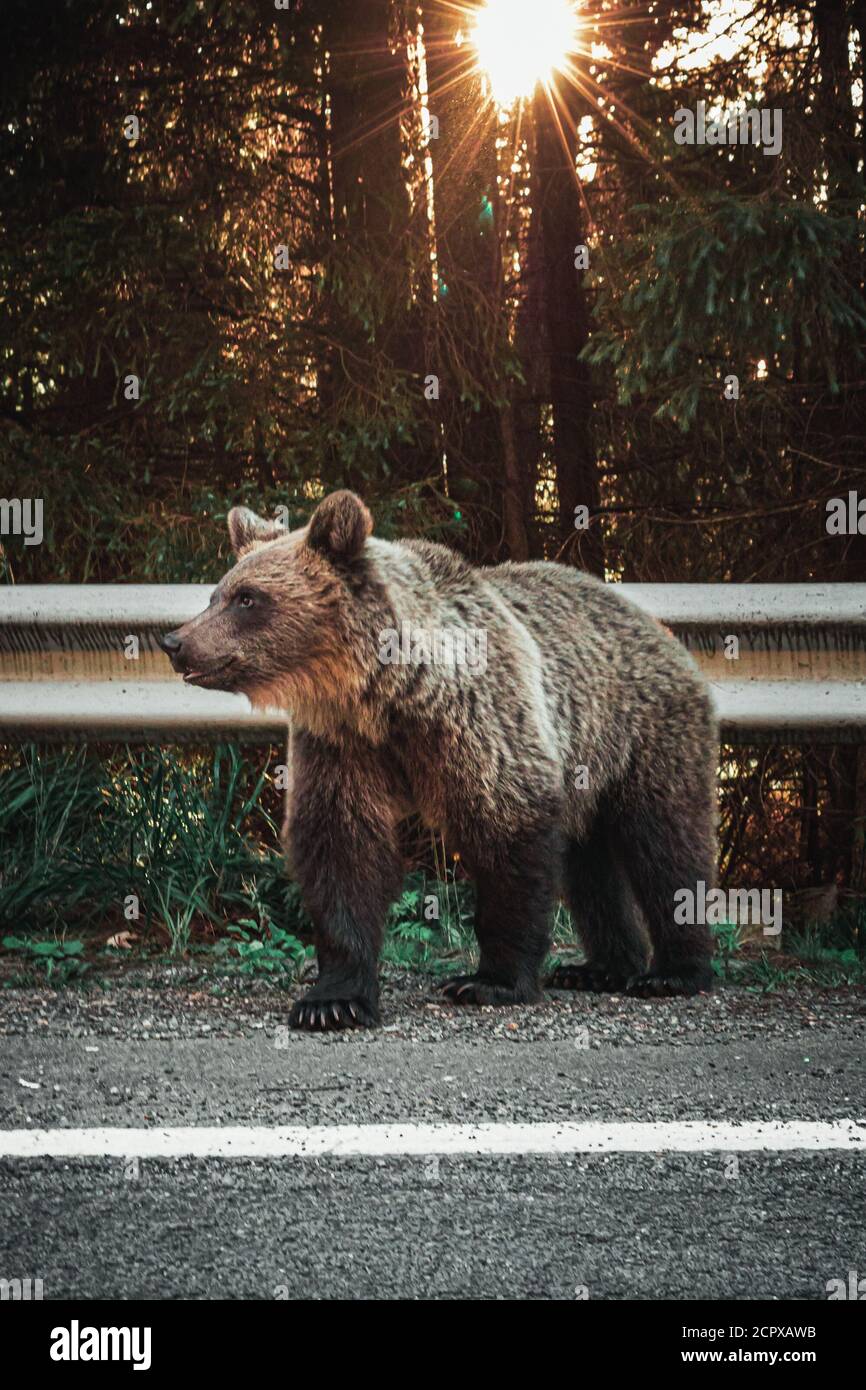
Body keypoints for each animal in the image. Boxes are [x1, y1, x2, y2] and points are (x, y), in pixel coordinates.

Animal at [159, 490, 718, 1030]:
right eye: (217, 593)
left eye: (247, 598)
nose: (175, 642)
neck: (390, 695)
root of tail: (655, 625)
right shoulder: (341, 745)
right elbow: (340, 848)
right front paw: (333, 1001)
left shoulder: (483, 726)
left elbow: (508, 836)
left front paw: (488, 981)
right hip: (586, 767)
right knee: (589, 864)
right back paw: (598, 968)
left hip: (644, 734)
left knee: (666, 846)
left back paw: (672, 972)